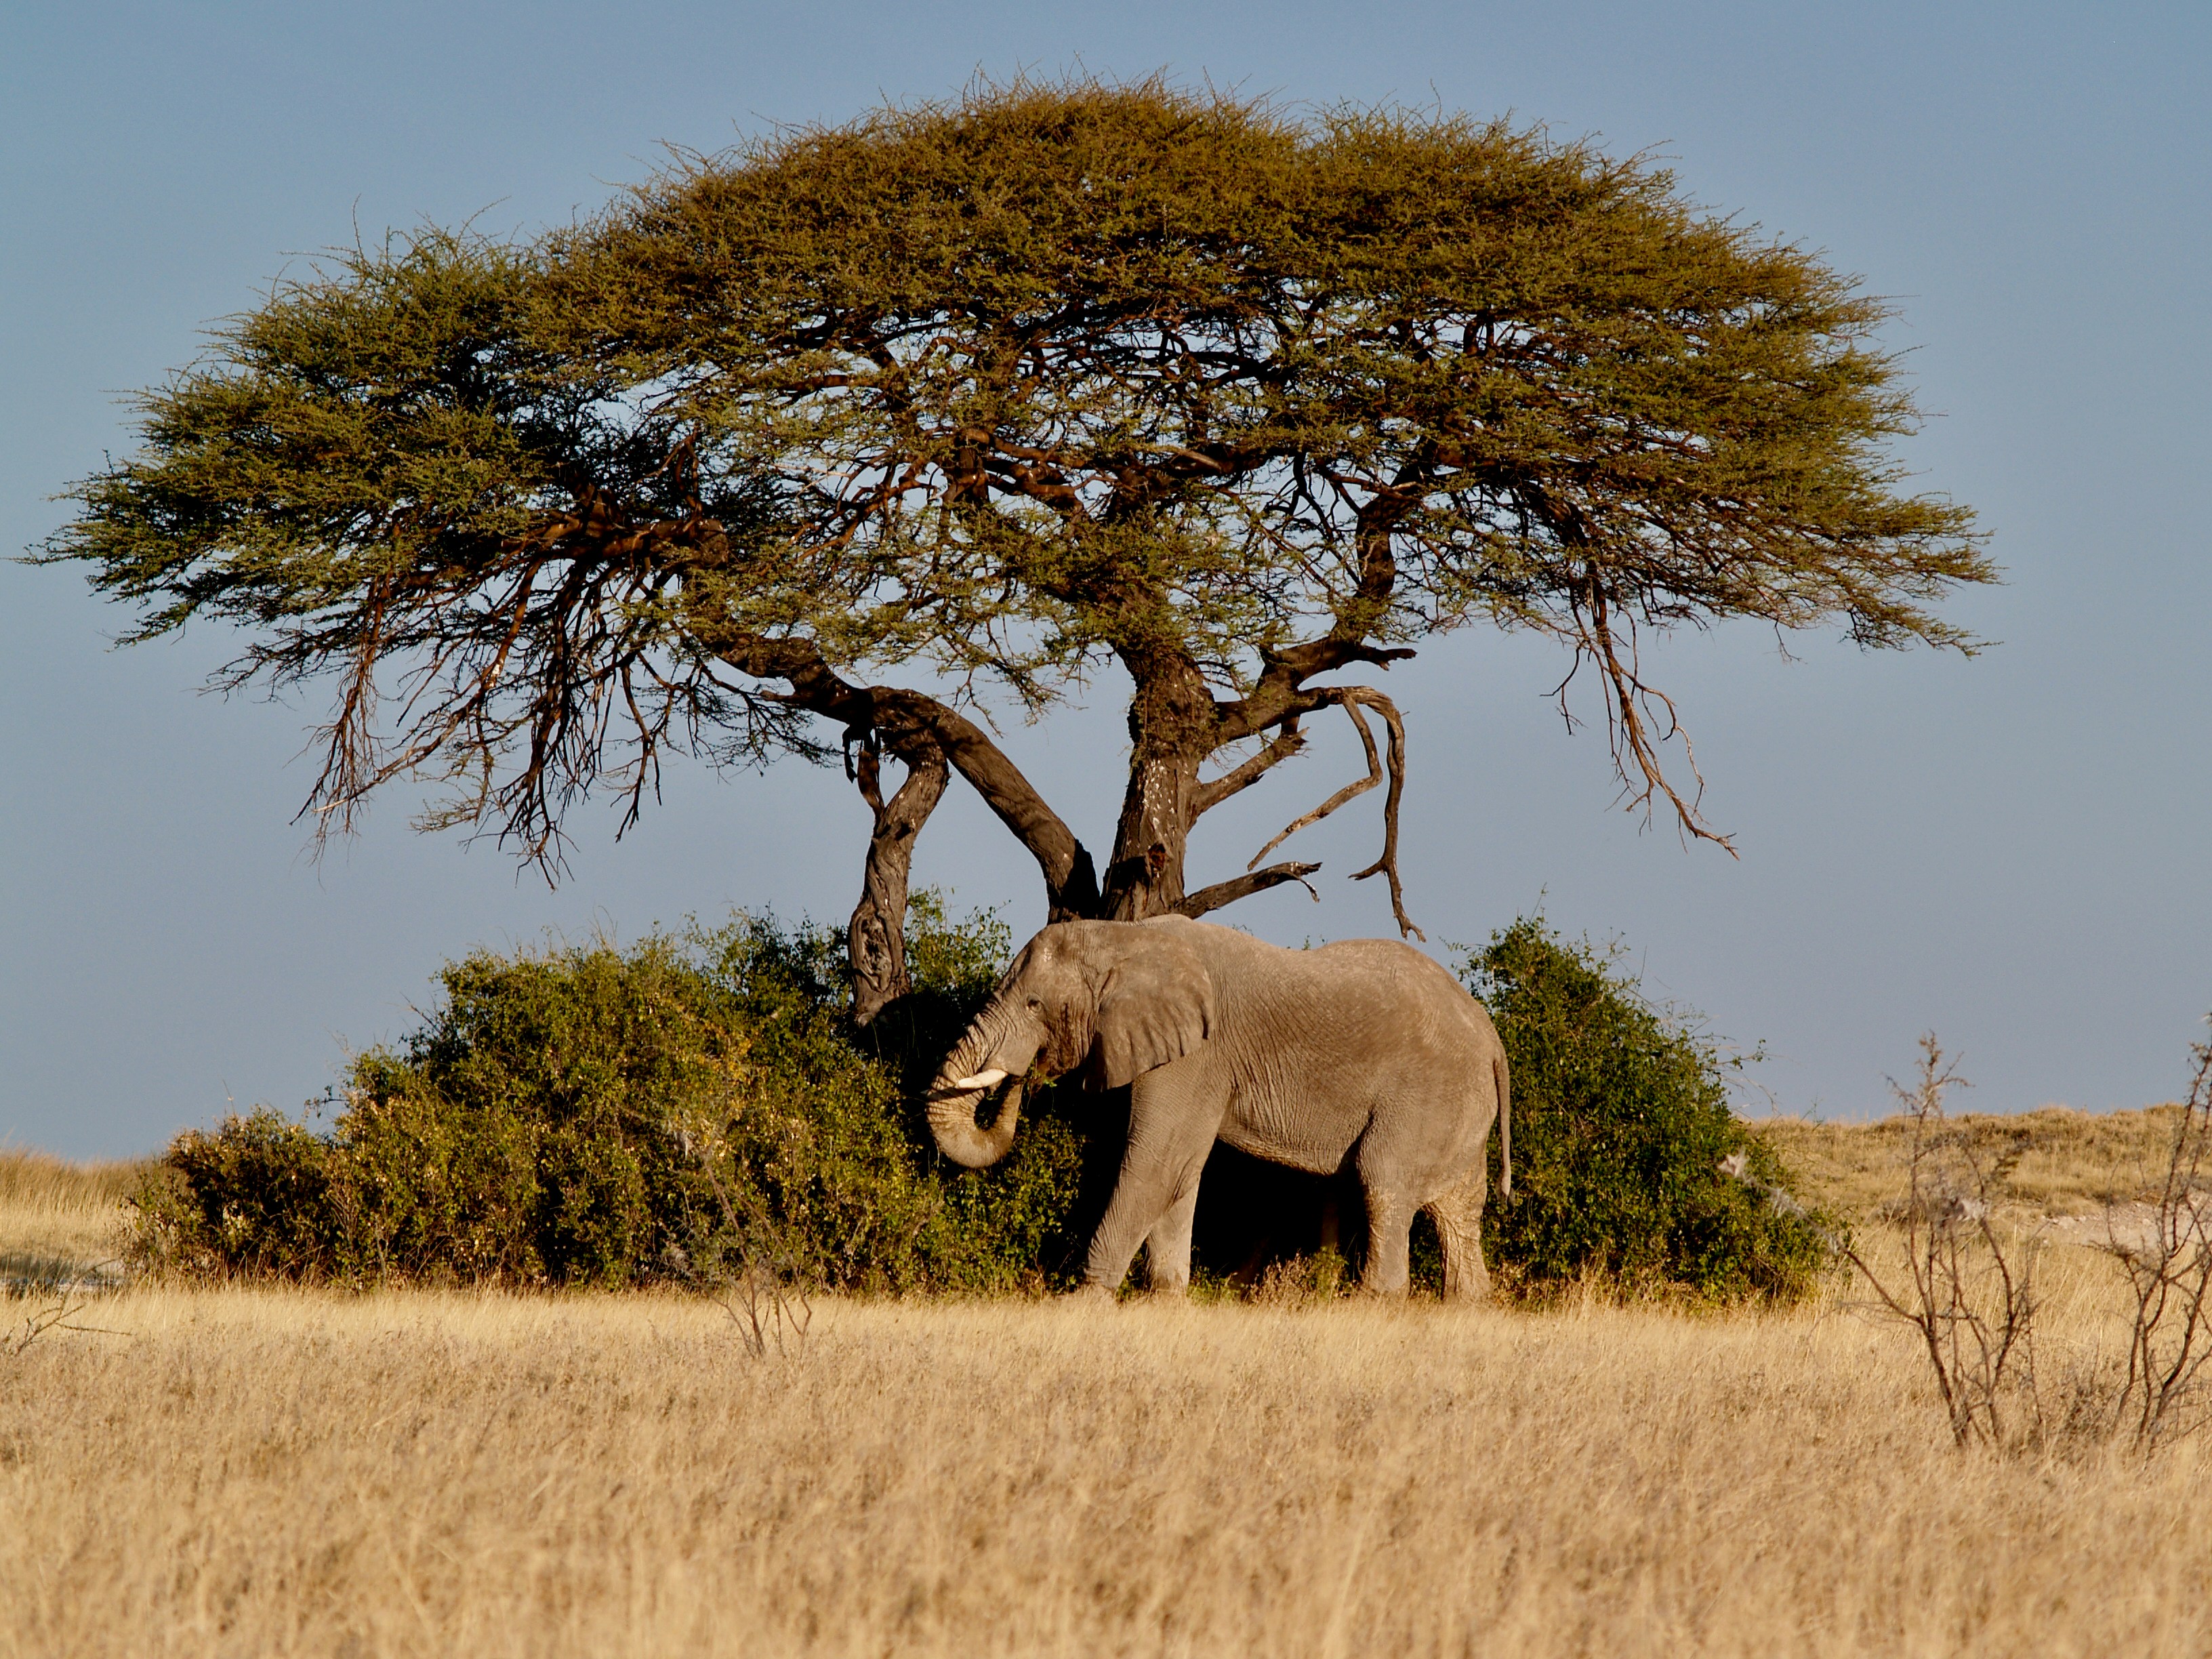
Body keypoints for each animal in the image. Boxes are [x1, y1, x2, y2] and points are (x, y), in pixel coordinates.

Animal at [925, 914, 1511, 1299]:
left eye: (1034, 1004)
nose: (1023, 1079)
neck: (1125, 936)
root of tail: (1491, 1038)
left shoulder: (1198, 1056)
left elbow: (1157, 1163)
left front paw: (1081, 1304)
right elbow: (1180, 1171)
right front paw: (1166, 1299)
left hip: (1426, 1096)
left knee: (1382, 1180)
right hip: (1460, 1109)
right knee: (1459, 1213)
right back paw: (1467, 1304)